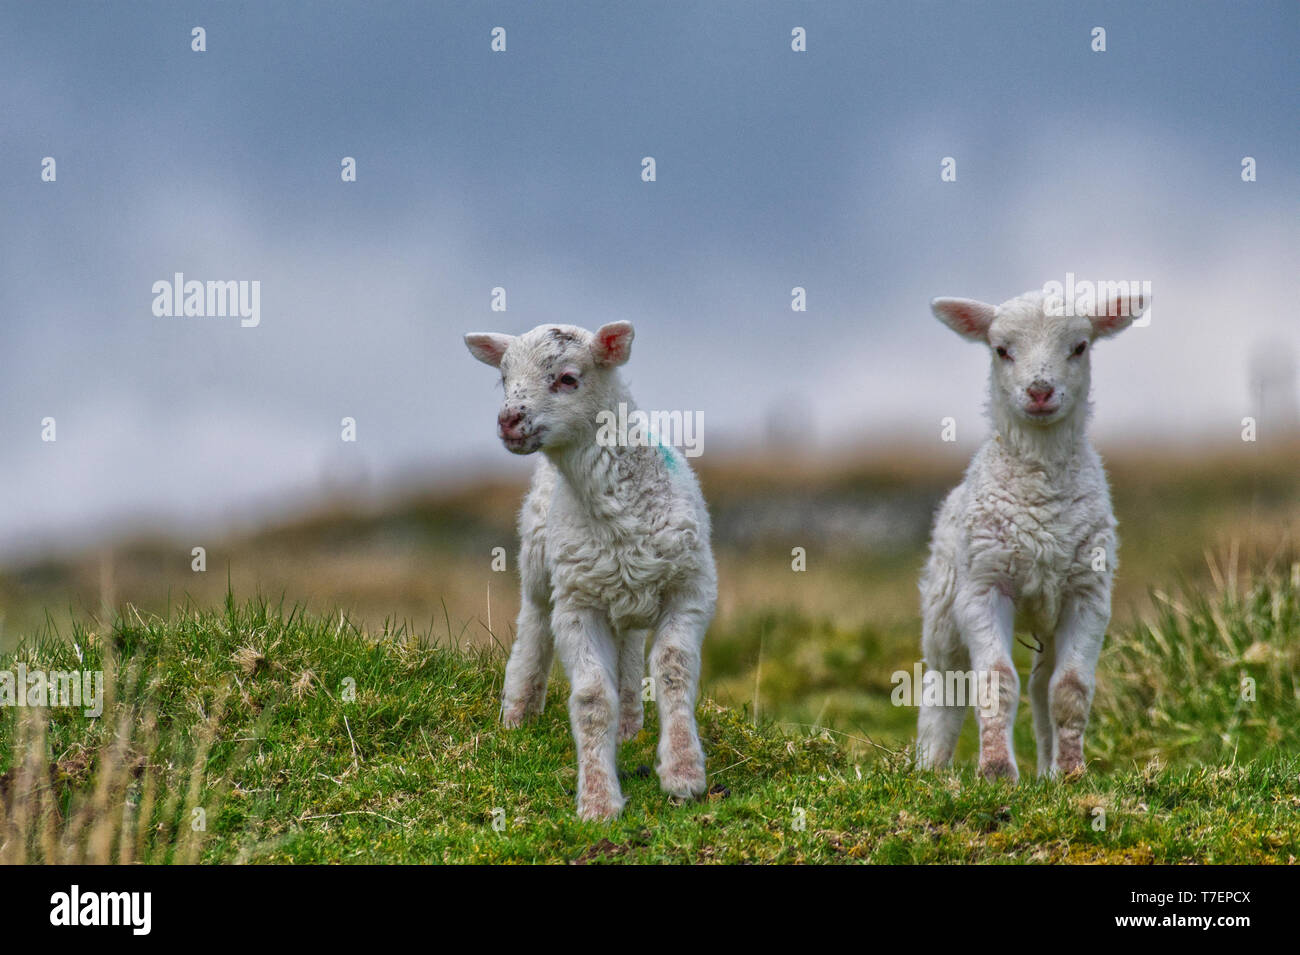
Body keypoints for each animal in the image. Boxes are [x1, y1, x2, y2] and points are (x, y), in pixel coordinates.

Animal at [464, 321, 716, 820]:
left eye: (567, 378)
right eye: (503, 378)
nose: (508, 420)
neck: (619, 512)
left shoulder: (690, 589)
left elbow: (674, 669)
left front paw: (683, 774)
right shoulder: (577, 605)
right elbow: (592, 697)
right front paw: (599, 801)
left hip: (625, 595)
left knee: (631, 648)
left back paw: (631, 725)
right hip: (540, 570)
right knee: (532, 630)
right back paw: (517, 714)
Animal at [917, 287, 1148, 781]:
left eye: (1079, 347)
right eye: (1001, 350)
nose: (1039, 391)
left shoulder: (1087, 594)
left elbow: (1070, 689)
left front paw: (1073, 773)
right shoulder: (984, 588)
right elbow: (995, 681)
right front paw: (996, 772)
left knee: (1043, 686)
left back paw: (1049, 769)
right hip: (945, 604)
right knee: (944, 684)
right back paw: (930, 766)